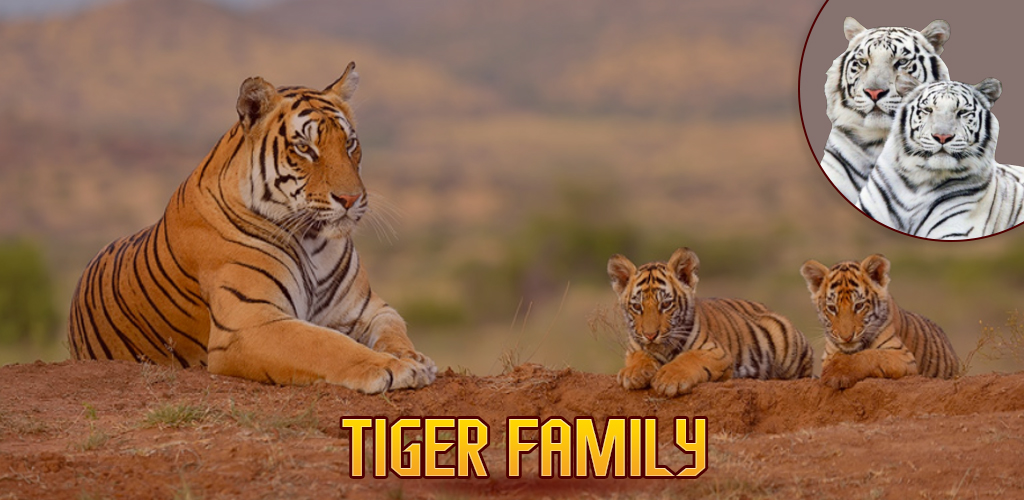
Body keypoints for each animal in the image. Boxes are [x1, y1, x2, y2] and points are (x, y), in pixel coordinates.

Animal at [67, 63, 437, 393]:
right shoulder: (247, 323)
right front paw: (395, 368)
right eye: (305, 147)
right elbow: (326, 344)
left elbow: (393, 332)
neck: (313, 240)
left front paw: (414, 358)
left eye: (349, 143)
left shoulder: (368, 308)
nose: (350, 198)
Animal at [607, 248, 813, 397]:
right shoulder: (634, 348)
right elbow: (639, 357)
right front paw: (632, 373)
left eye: (665, 304)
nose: (650, 335)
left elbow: (689, 358)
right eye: (637, 306)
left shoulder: (717, 352)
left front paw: (668, 379)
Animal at [800, 254, 959, 390]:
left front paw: (838, 373)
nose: (846, 337)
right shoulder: (828, 355)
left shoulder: (903, 356)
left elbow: (872, 355)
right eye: (832, 308)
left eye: (859, 306)